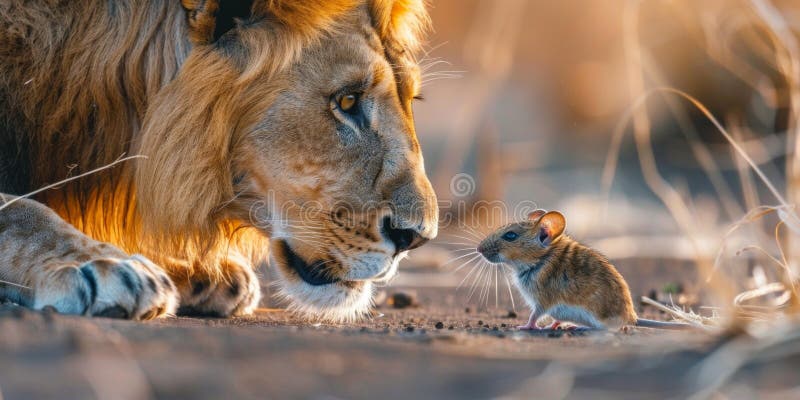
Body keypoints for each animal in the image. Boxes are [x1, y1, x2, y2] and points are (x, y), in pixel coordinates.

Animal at [0, 0, 438, 322]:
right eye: (347, 100)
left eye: (412, 99)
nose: (417, 237)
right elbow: (19, 211)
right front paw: (101, 263)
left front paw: (196, 271)